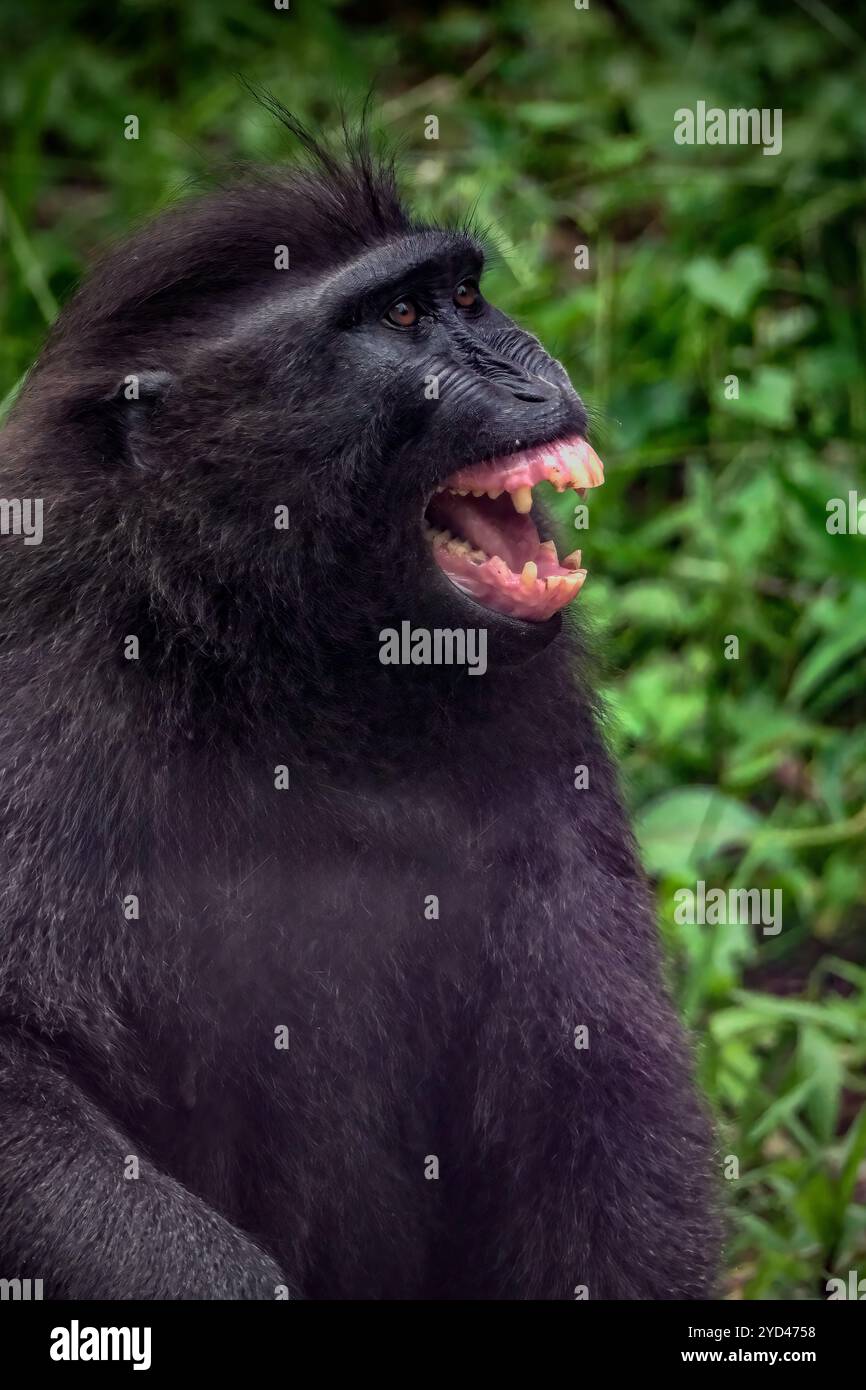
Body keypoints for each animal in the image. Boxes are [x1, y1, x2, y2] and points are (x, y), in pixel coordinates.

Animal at [0, 107, 721, 1300]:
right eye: (401, 315)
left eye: (466, 298)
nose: (526, 369)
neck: (265, 665)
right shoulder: (43, 692)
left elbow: (592, 1095)